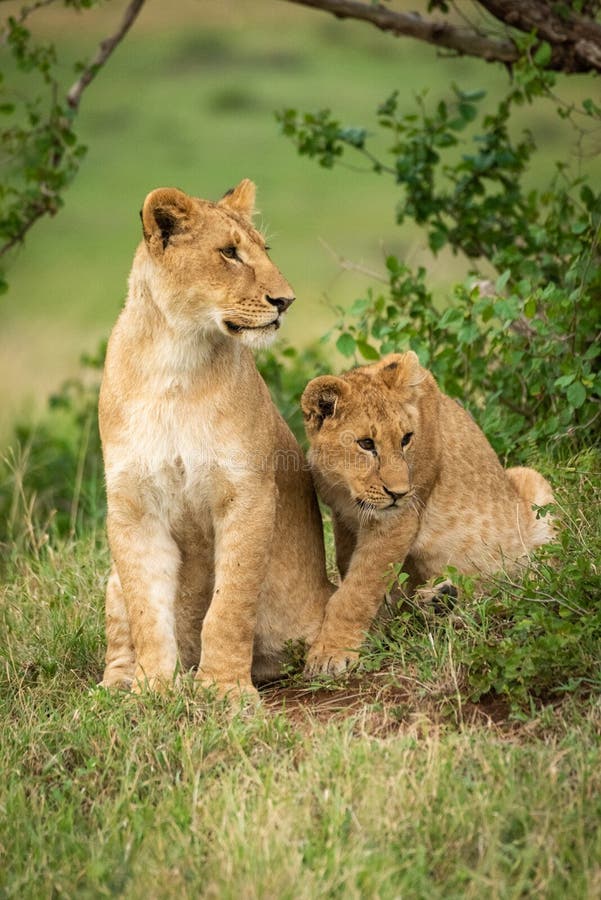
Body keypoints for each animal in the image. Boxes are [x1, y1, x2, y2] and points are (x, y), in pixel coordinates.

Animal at [99, 179, 333, 699]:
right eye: (229, 253)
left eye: (265, 251)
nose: (285, 301)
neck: (174, 360)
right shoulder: (131, 503)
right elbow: (146, 609)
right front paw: (151, 689)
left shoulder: (247, 493)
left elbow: (229, 605)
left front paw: (224, 690)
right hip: (109, 580)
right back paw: (111, 687)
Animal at [301, 351, 555, 675]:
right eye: (366, 444)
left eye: (406, 438)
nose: (398, 493)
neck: (346, 490)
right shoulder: (343, 518)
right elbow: (349, 567)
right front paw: (379, 624)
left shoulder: (396, 520)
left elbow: (359, 589)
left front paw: (331, 652)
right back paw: (437, 600)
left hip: (533, 483)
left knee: (533, 573)